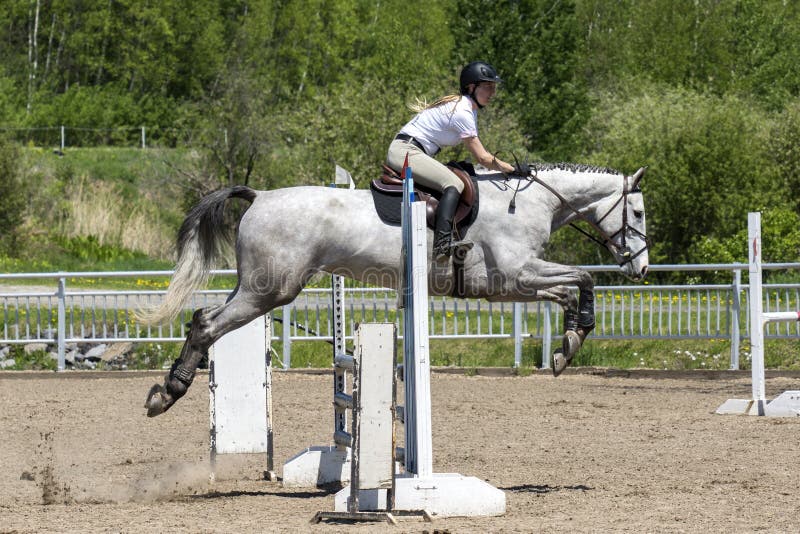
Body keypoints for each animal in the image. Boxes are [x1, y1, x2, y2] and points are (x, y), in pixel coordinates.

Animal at [141, 163, 650, 417]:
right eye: (640, 213)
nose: (641, 267)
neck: (529, 202)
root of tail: (259, 196)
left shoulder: (515, 284)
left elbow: (570, 288)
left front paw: (567, 346)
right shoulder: (513, 276)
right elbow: (583, 278)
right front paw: (574, 339)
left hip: (257, 287)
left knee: (202, 319)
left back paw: (167, 390)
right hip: (270, 291)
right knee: (209, 326)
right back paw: (170, 391)